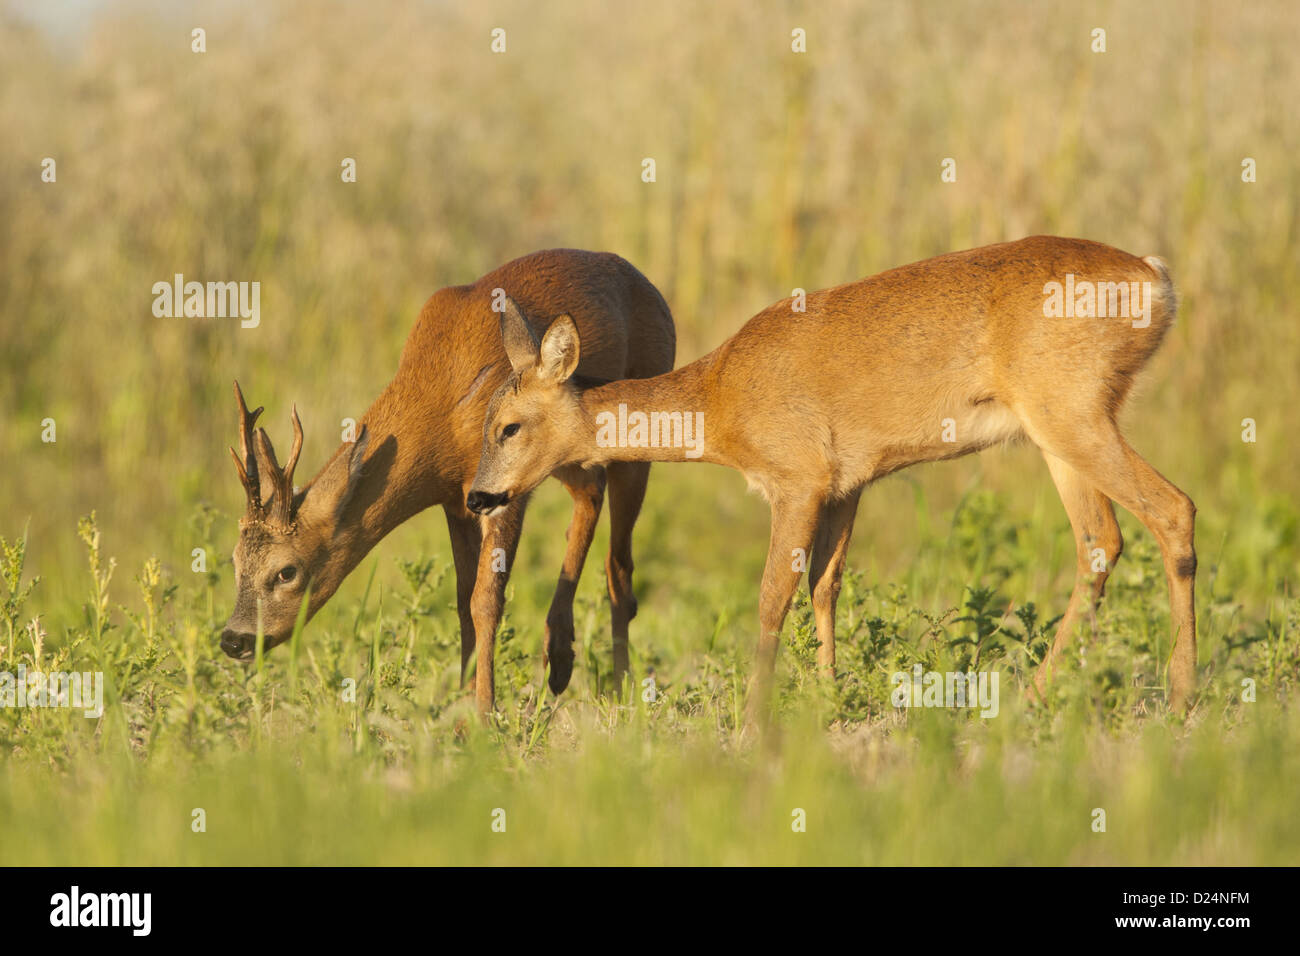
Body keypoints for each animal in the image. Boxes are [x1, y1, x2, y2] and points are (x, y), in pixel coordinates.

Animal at [221, 249, 676, 715]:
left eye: (287, 571)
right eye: (233, 562)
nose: (233, 640)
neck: (441, 411)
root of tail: (649, 285)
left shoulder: (502, 489)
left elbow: (486, 601)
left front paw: (485, 714)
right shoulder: (456, 501)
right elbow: (461, 602)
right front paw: (460, 709)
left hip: (635, 438)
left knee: (620, 564)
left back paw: (620, 691)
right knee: (591, 495)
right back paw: (561, 655)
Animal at [467, 236, 1198, 724]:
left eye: (508, 426)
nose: (478, 496)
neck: (719, 399)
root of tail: (1155, 280)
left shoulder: (797, 479)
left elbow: (771, 597)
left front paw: (754, 721)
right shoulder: (848, 485)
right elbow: (825, 587)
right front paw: (828, 695)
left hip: (1072, 413)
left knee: (1174, 510)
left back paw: (1181, 694)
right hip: (1060, 432)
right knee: (1101, 542)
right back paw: (1037, 696)